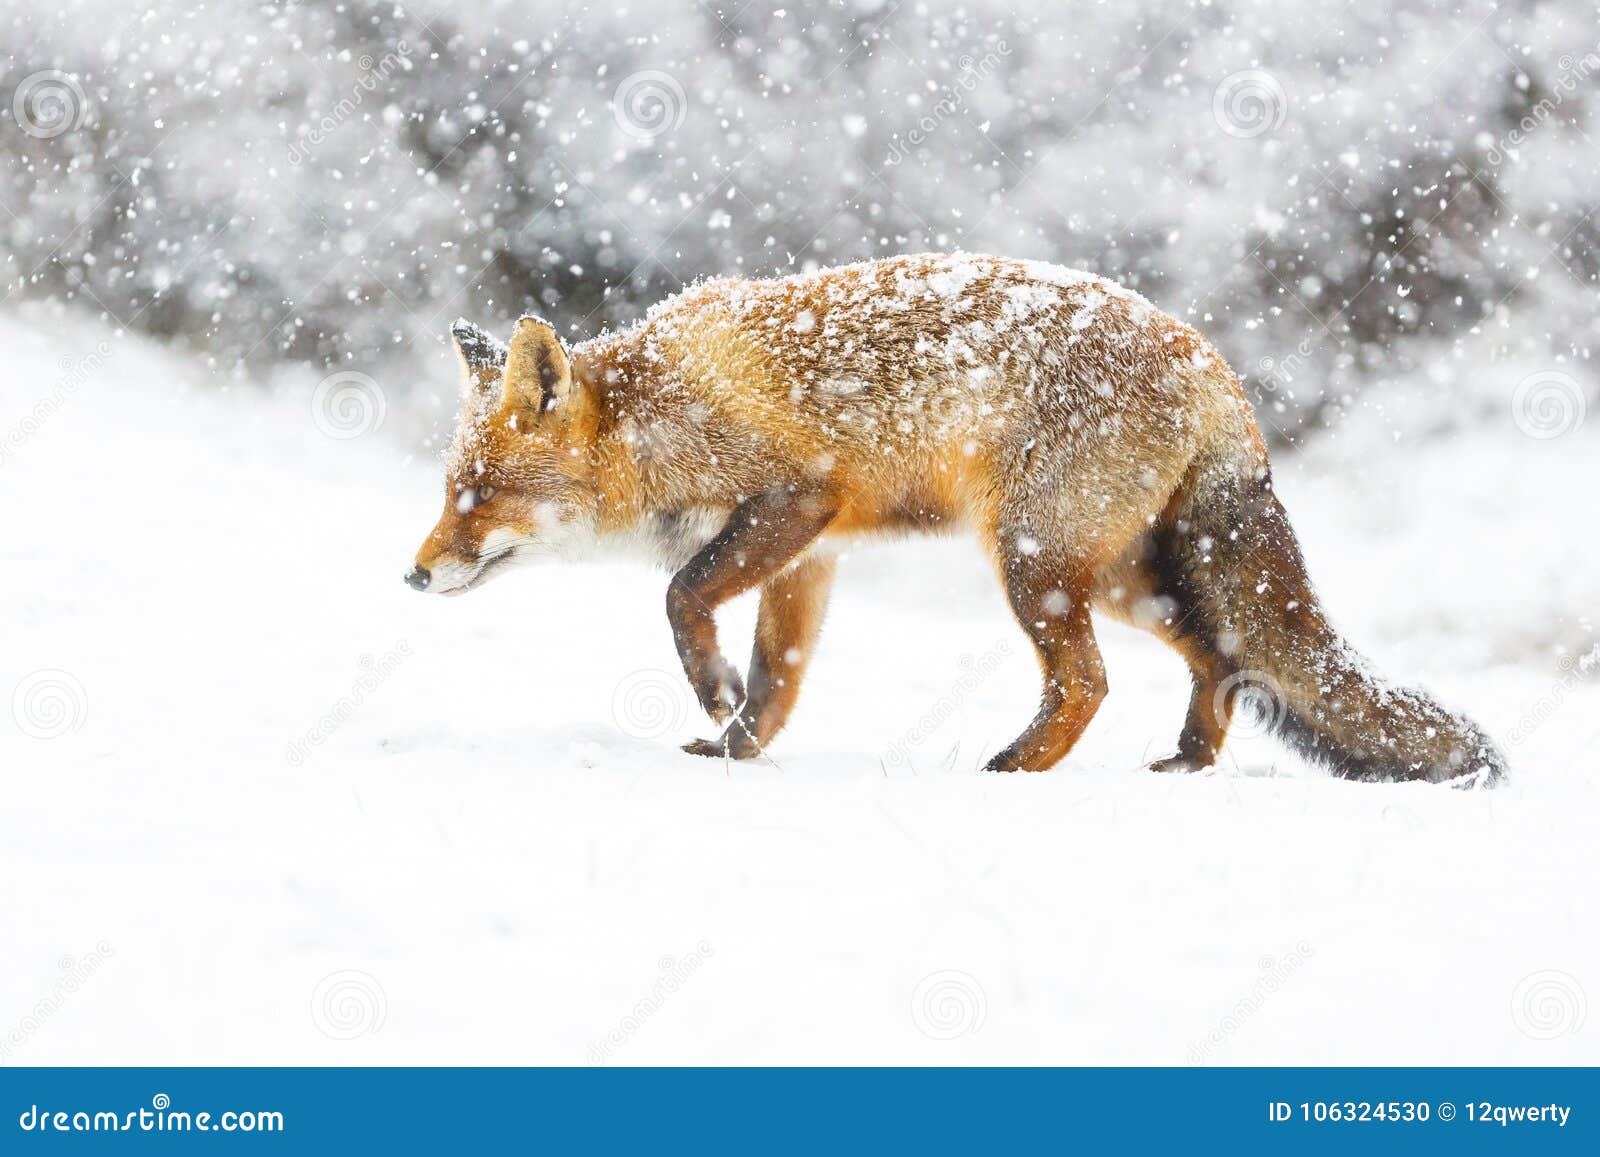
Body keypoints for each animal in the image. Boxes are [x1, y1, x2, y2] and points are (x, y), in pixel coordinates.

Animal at [406, 252, 1506, 784]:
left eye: (481, 496)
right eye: (449, 490)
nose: (412, 574)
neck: (655, 420)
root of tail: (1212, 363)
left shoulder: (798, 495)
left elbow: (683, 596)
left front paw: (711, 695)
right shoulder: (810, 555)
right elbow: (778, 681)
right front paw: (735, 752)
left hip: (1032, 561)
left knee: (1088, 682)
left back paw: (1012, 771)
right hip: (1122, 576)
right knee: (1221, 656)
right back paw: (1186, 762)